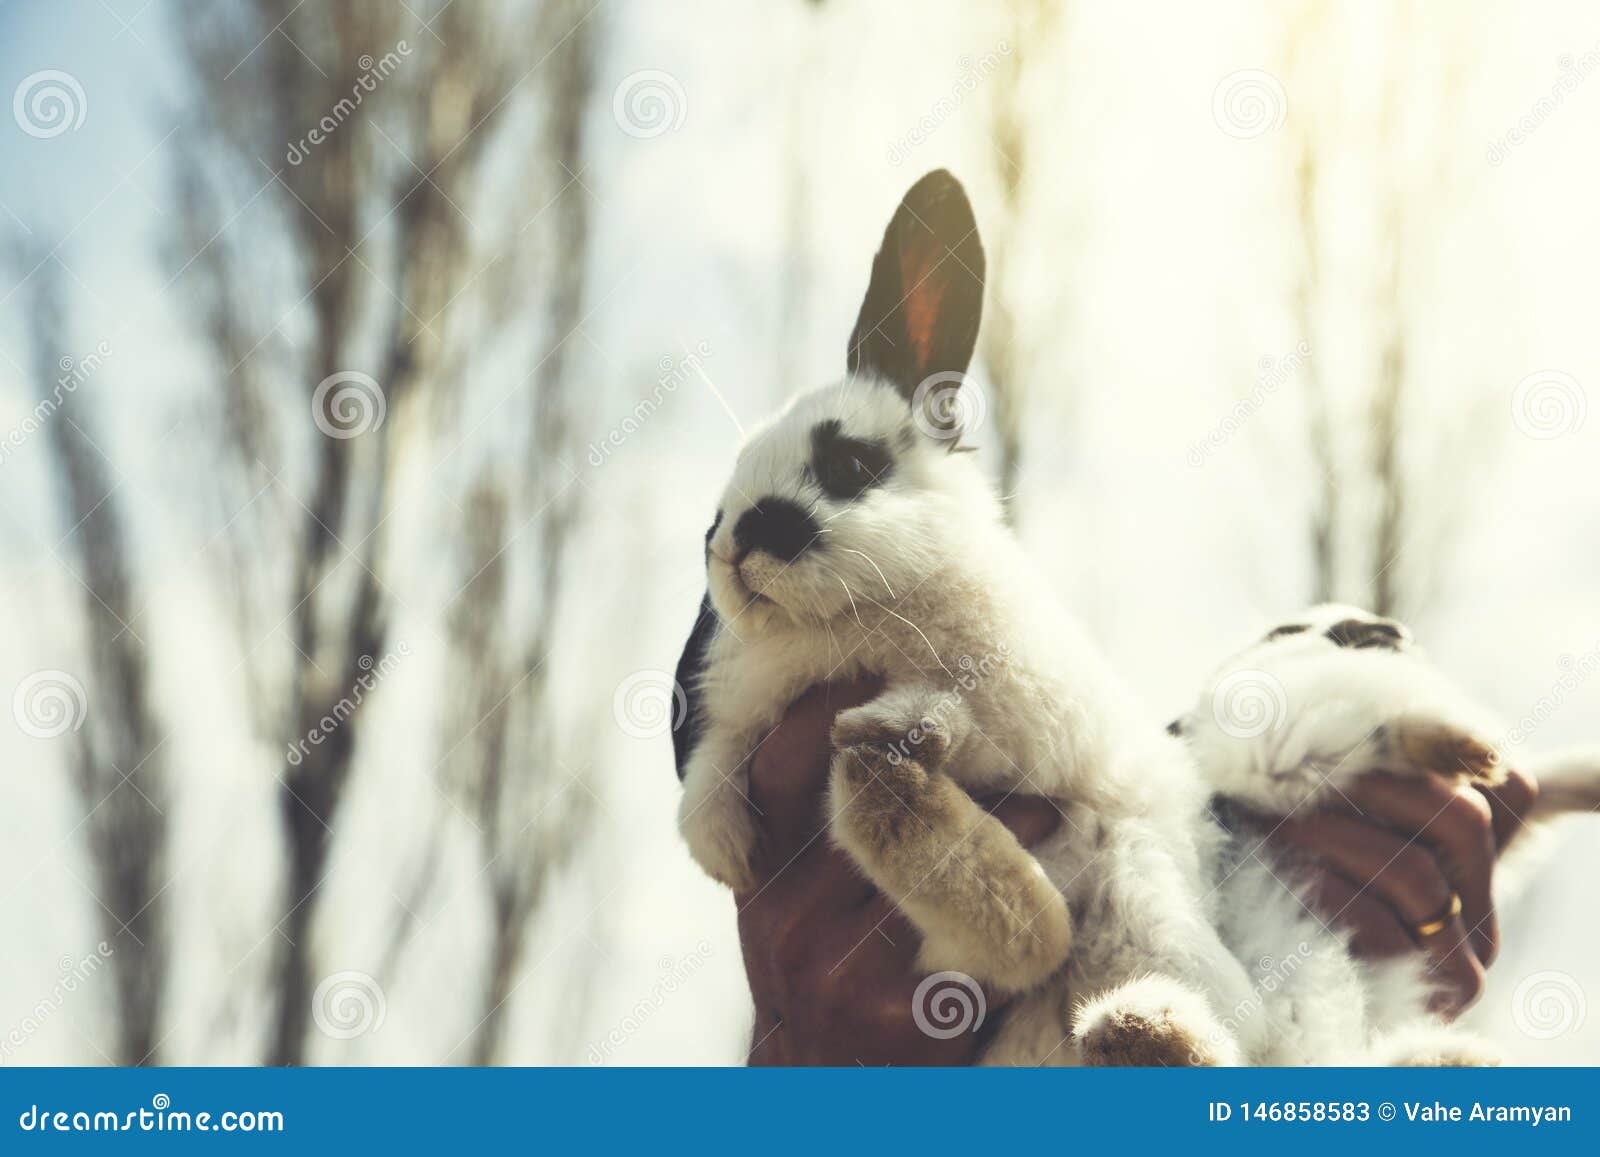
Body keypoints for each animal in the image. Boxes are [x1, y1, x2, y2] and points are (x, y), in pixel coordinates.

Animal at [671, 169, 1265, 1066]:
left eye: (848, 463)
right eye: (725, 490)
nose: (734, 543)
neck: (843, 624)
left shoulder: (1029, 713)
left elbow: (964, 711)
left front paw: (908, 717)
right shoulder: (748, 716)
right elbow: (712, 769)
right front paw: (727, 846)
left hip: (1141, 890)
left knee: (1073, 954)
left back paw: (1146, 1029)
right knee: (1018, 944)